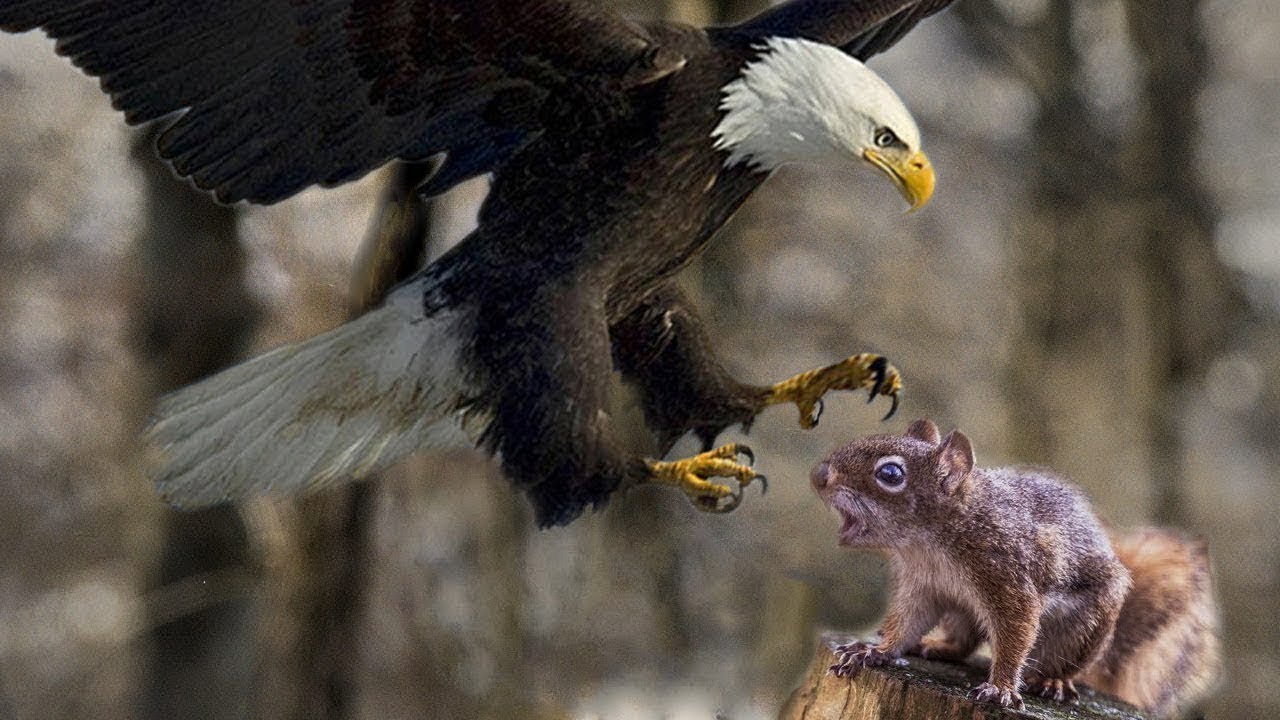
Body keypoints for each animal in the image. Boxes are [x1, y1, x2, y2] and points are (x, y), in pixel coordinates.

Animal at [810, 419, 1221, 717]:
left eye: (891, 475)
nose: (818, 475)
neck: (928, 545)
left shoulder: (1009, 576)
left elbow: (1015, 634)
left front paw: (1001, 687)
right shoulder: (923, 587)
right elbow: (906, 623)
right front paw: (873, 651)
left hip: (1081, 631)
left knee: (1059, 663)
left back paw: (1054, 683)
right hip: (960, 611)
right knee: (963, 642)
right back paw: (936, 646)